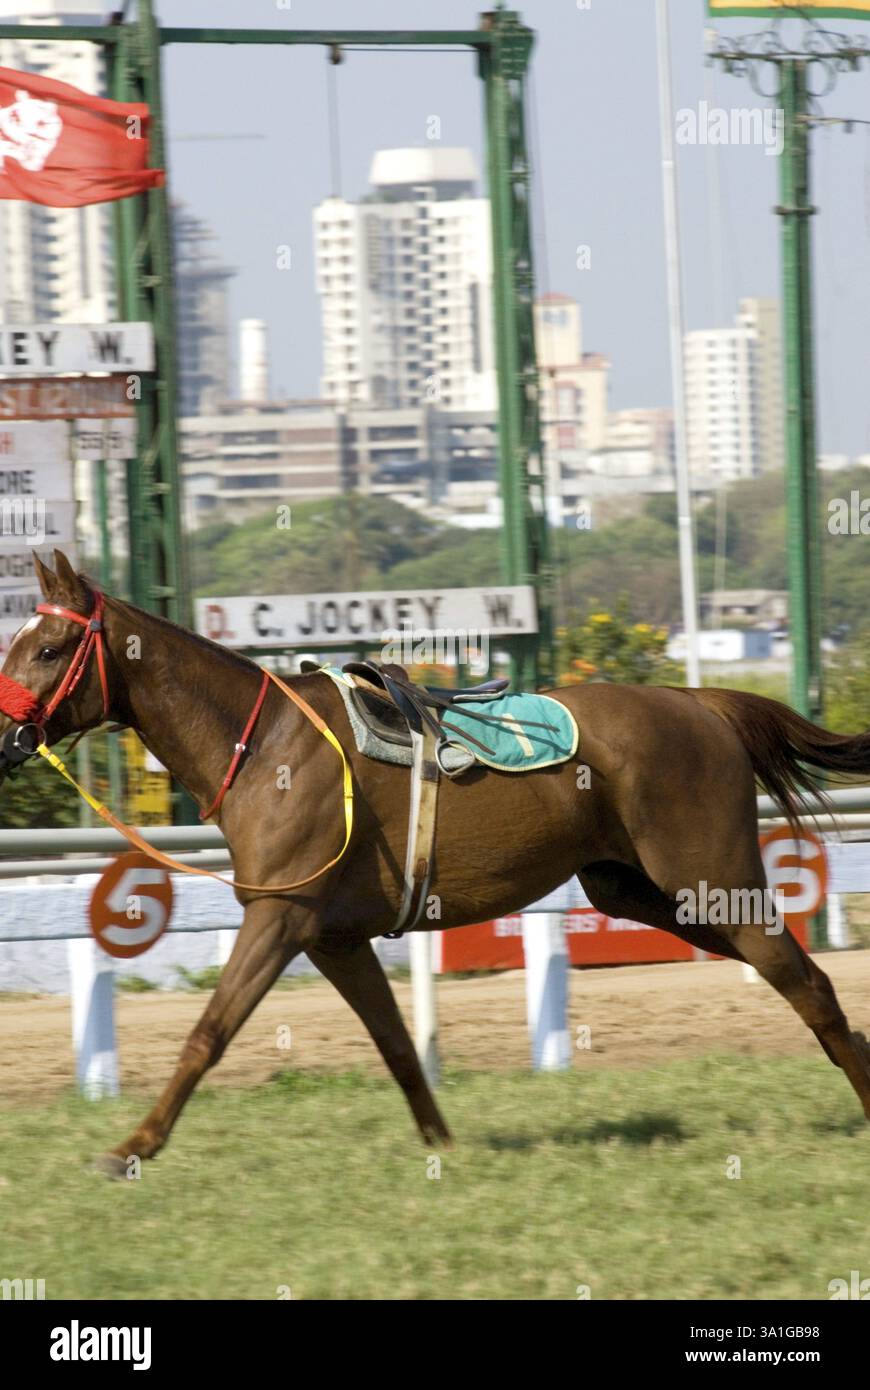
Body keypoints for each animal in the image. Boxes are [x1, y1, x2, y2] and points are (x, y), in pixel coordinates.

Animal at [1, 550, 870, 1177]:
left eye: (47, 646)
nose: (6, 735)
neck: (268, 746)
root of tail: (701, 704)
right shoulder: (333, 936)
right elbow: (394, 1044)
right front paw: (442, 1146)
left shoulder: (279, 916)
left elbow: (207, 1034)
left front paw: (132, 1148)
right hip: (643, 892)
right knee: (786, 974)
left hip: (711, 879)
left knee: (809, 984)